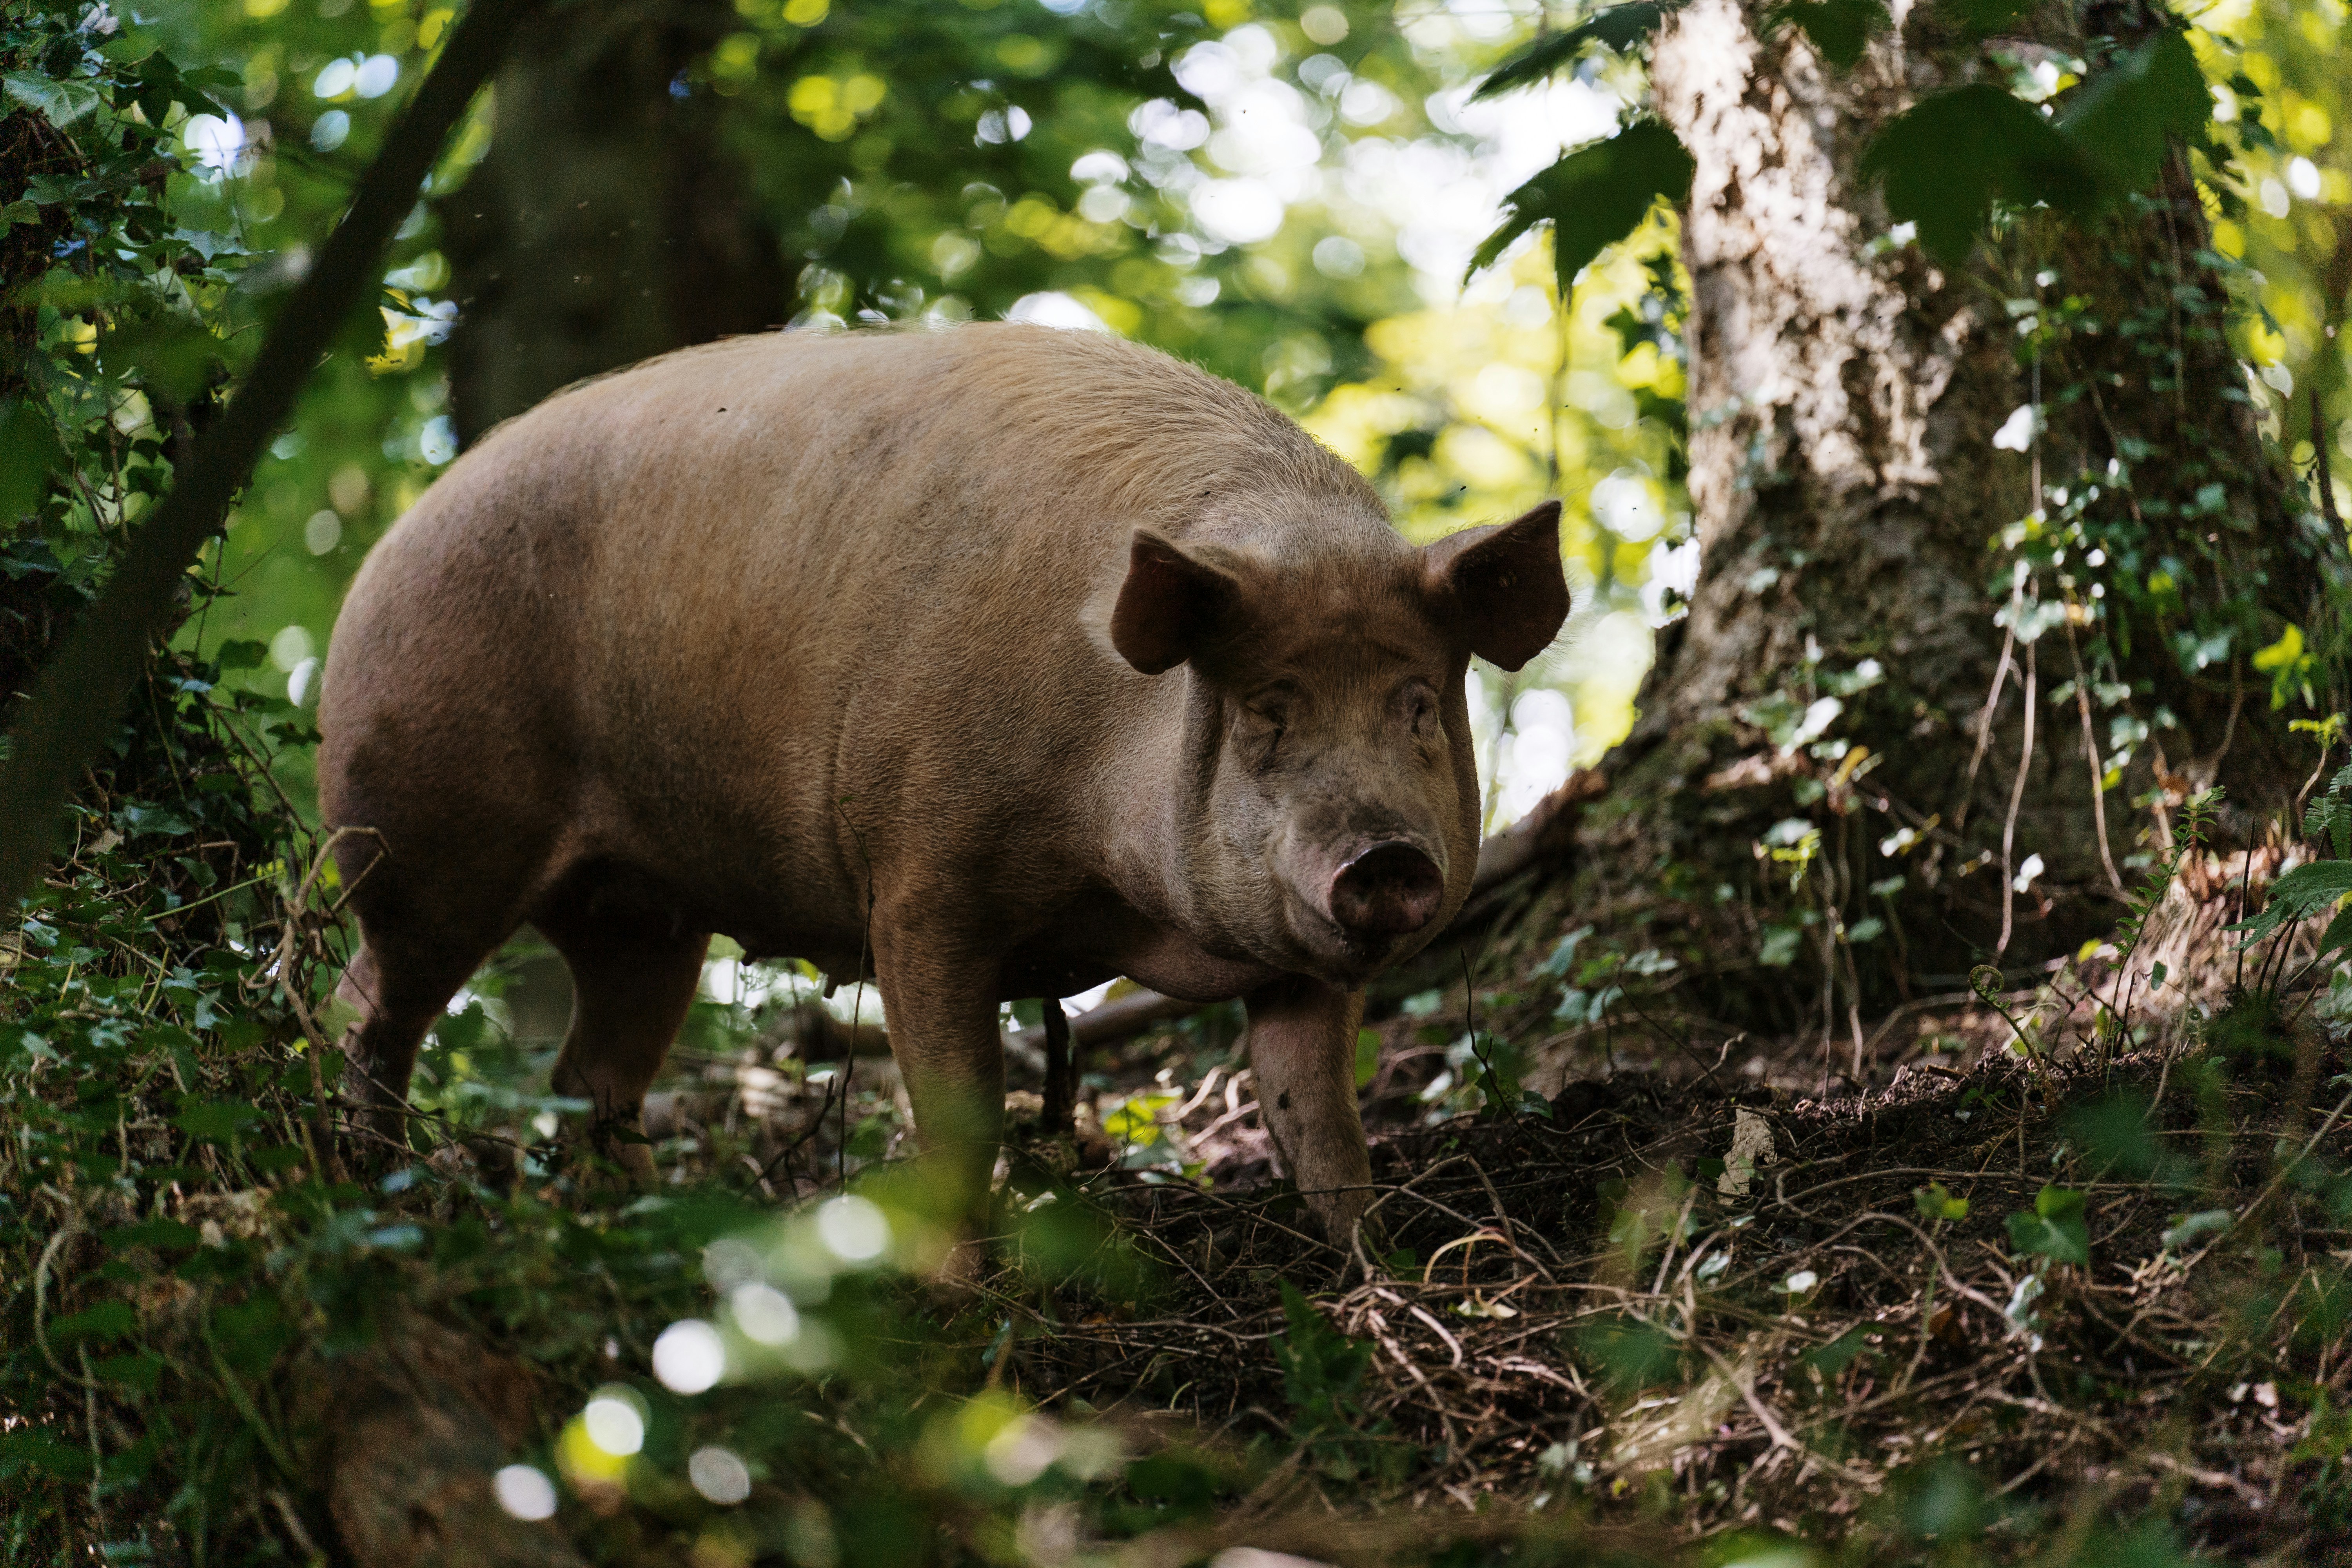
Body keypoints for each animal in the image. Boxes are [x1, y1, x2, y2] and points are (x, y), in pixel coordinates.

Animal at [317, 323, 1567, 1245]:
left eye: (1416, 704)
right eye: (1269, 709)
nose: (1386, 854)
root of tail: (392, 537)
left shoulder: (1296, 962)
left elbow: (1324, 1130)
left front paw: (1370, 1277)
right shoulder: (921, 882)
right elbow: (959, 1124)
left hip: (643, 914)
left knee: (591, 1073)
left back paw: (637, 1224)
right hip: (420, 826)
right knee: (369, 1002)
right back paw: (367, 1178)